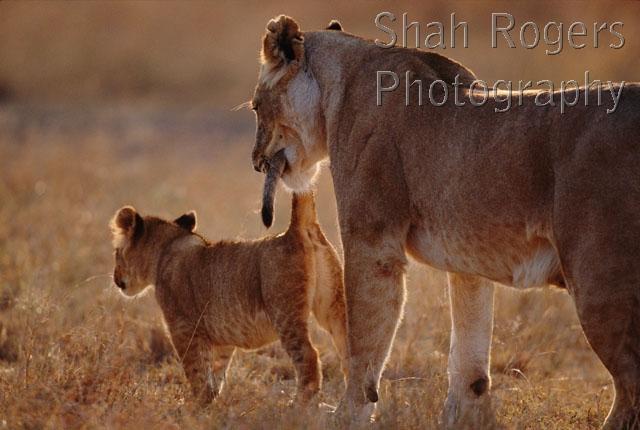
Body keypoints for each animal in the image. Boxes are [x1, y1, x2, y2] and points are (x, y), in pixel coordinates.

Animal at [109, 188, 347, 405]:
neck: (166, 248)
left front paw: (196, 405)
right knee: (349, 347)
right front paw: (212, 402)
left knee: (309, 356)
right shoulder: (222, 340)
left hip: (286, 313)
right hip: (332, 307)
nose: (115, 278)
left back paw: (298, 406)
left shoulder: (184, 329)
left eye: (116, 252)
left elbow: (196, 370)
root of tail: (293, 230)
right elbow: (216, 372)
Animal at [249, 15, 640, 429]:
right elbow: (469, 353)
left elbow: (364, 342)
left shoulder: (373, 243)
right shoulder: (468, 258)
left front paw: (346, 415)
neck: (336, 87)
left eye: (256, 106)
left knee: (630, 386)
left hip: (599, 280)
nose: (256, 161)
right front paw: (465, 417)